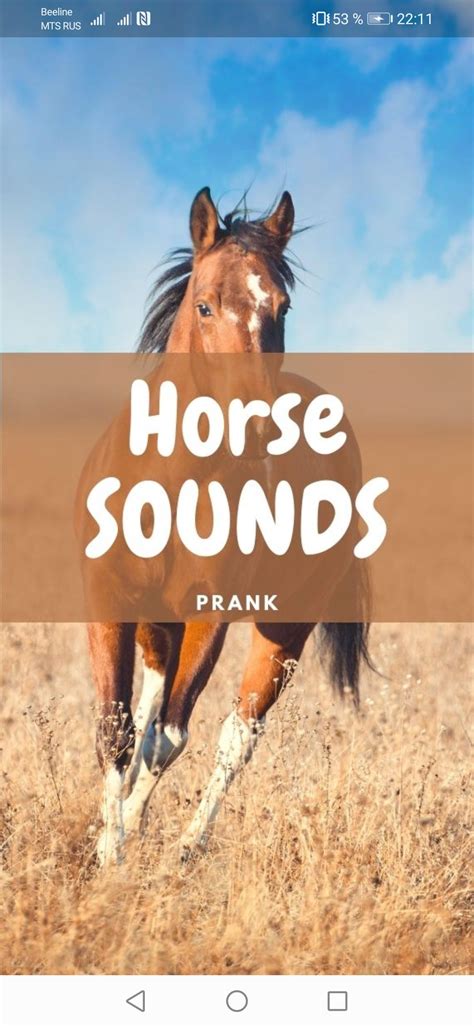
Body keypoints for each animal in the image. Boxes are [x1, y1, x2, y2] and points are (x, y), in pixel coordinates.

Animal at [82, 187, 371, 866]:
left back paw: (187, 848)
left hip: (281, 633)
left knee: (237, 736)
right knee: (148, 710)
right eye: (206, 304)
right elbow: (118, 729)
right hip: (157, 627)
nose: (258, 424)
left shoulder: (208, 622)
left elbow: (169, 738)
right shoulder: (112, 605)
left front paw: (123, 850)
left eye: (282, 307)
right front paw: (108, 848)